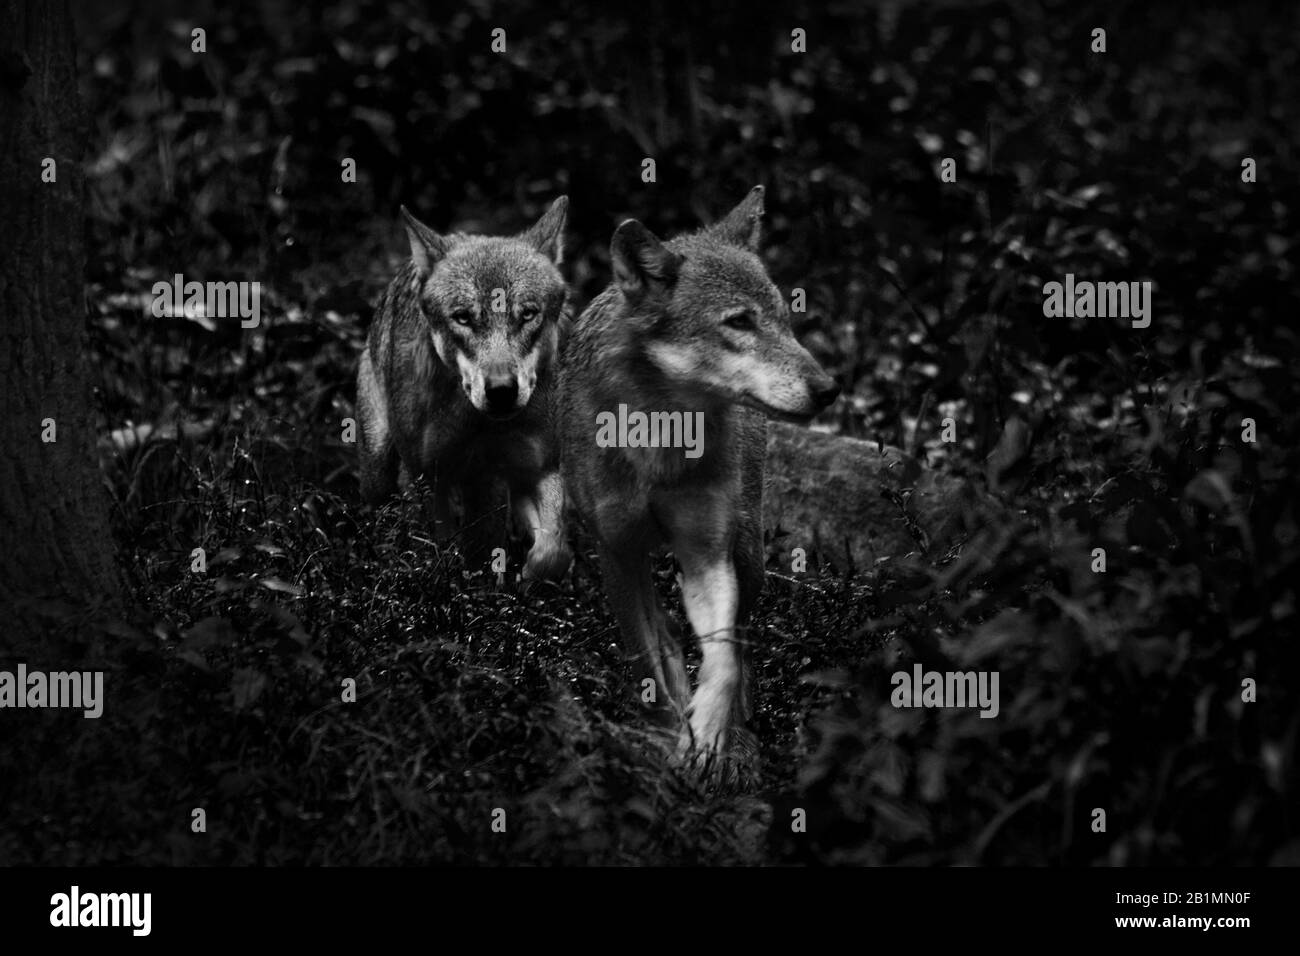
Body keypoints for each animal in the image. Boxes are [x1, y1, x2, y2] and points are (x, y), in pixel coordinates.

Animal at [356, 198, 573, 582]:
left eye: (527, 314)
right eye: (463, 318)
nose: (501, 390)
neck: (481, 426)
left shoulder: (539, 467)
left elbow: (553, 553)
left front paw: (528, 576)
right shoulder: (427, 478)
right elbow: (436, 551)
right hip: (381, 471)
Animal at [559, 186, 840, 763]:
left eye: (785, 319)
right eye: (739, 322)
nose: (828, 390)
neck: (661, 438)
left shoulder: (706, 552)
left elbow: (725, 657)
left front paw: (709, 735)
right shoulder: (617, 555)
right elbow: (649, 660)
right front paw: (672, 740)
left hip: (748, 546)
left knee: (743, 633)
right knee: (666, 635)